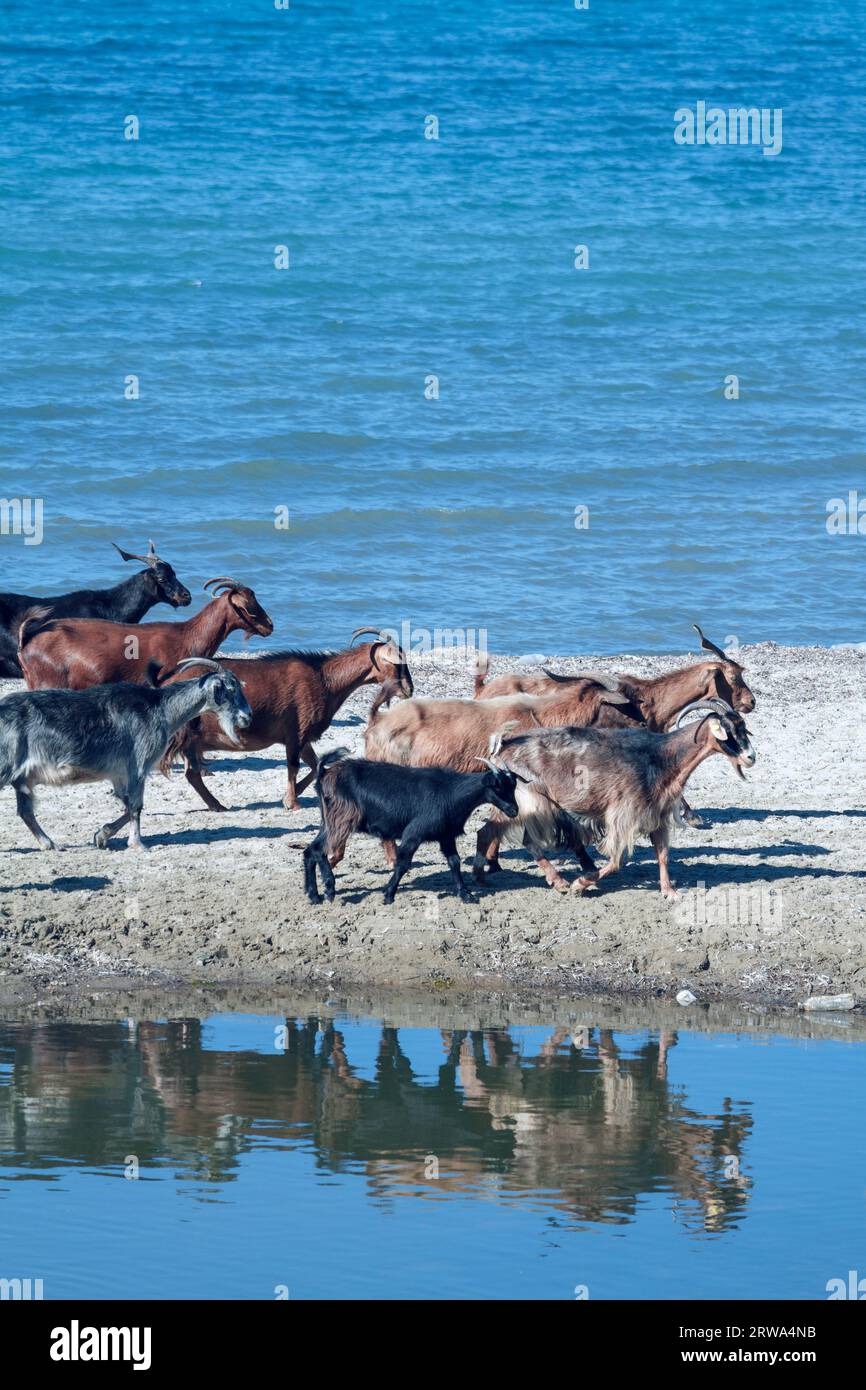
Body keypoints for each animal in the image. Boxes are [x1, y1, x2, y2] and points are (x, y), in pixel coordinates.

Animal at [0, 658, 252, 852]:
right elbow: (136, 805)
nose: (248, 717)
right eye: (230, 690)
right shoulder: (139, 765)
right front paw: (138, 843)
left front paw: (102, 835)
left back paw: (49, 844)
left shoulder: (119, 774)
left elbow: (126, 803)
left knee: (25, 811)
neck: (161, 709)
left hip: (22, 778)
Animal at [160, 627, 414, 812]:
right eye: (396, 663)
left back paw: (217, 805)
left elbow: (316, 765)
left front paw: (289, 796)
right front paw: (292, 802)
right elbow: (294, 765)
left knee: (192, 774)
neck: (325, 680)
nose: (409, 689)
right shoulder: (296, 732)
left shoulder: (303, 736)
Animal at [304, 749, 521, 905]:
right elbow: (402, 863)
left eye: (513, 786)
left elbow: (454, 862)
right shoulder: (414, 833)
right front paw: (388, 894)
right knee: (319, 850)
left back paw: (313, 895)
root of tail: (325, 772)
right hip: (341, 819)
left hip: (329, 821)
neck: (451, 792)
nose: (513, 810)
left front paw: (466, 894)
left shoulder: (446, 835)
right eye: (496, 786)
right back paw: (329, 889)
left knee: (310, 851)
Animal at [473, 699, 755, 897]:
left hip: (515, 802)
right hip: (532, 800)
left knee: (489, 832)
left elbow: (663, 854)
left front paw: (670, 892)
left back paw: (482, 877)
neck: (661, 756)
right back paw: (560, 882)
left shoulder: (657, 814)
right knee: (520, 838)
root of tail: (503, 747)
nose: (751, 757)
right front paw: (580, 884)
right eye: (729, 730)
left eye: (744, 728)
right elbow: (617, 861)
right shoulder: (623, 814)